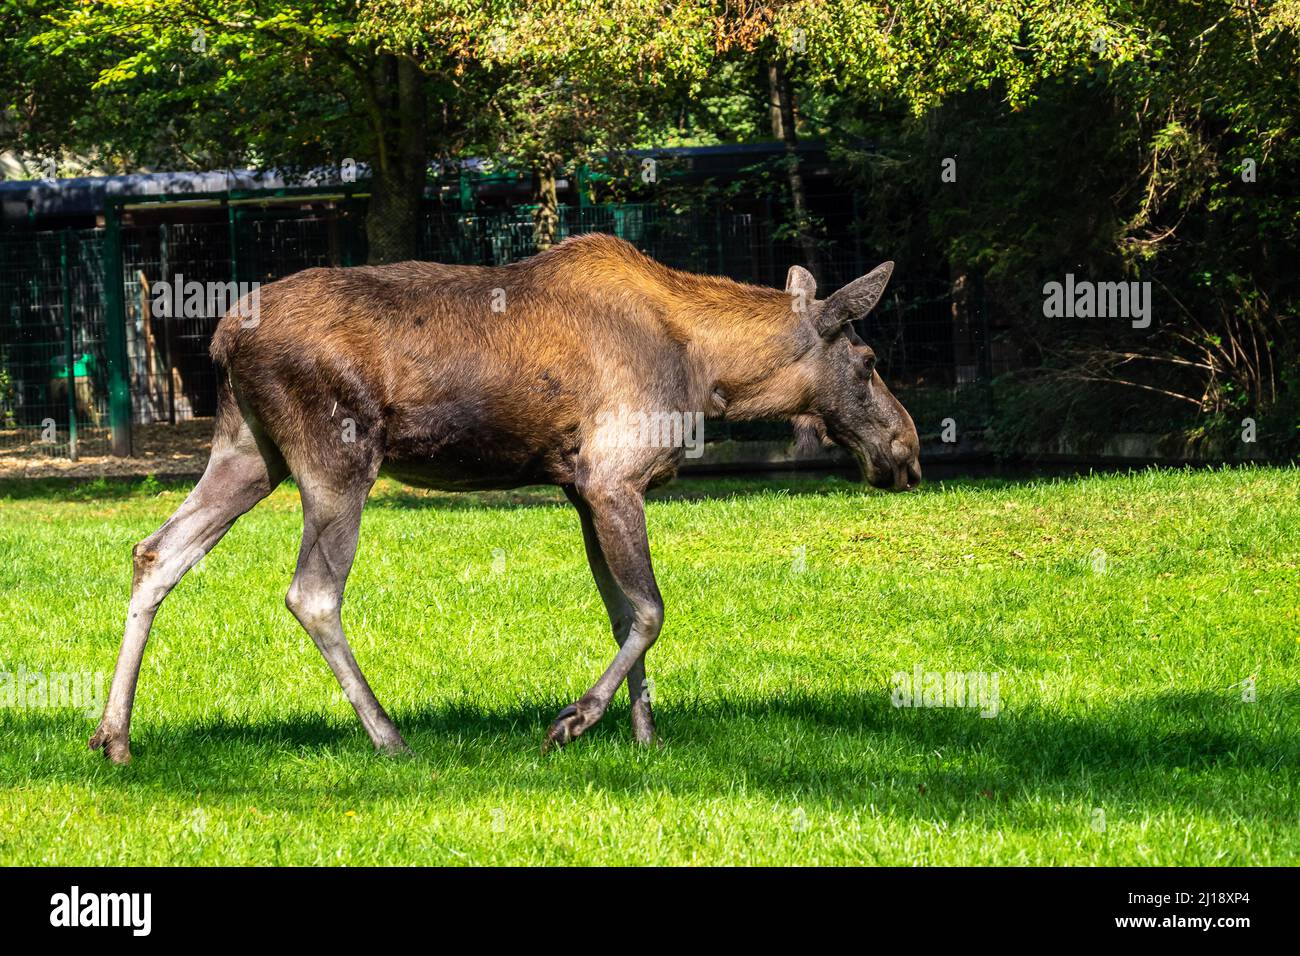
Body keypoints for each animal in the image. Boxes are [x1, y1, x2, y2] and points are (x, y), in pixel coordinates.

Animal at [89, 233, 920, 764]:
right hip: (337, 455)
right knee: (311, 592)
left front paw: (645, 740)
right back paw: (389, 736)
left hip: (247, 451)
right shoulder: (613, 475)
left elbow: (625, 613)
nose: (907, 450)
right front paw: (574, 721)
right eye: (869, 358)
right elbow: (652, 610)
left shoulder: (582, 486)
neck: (712, 374)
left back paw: (115, 736)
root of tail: (223, 338)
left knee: (157, 552)